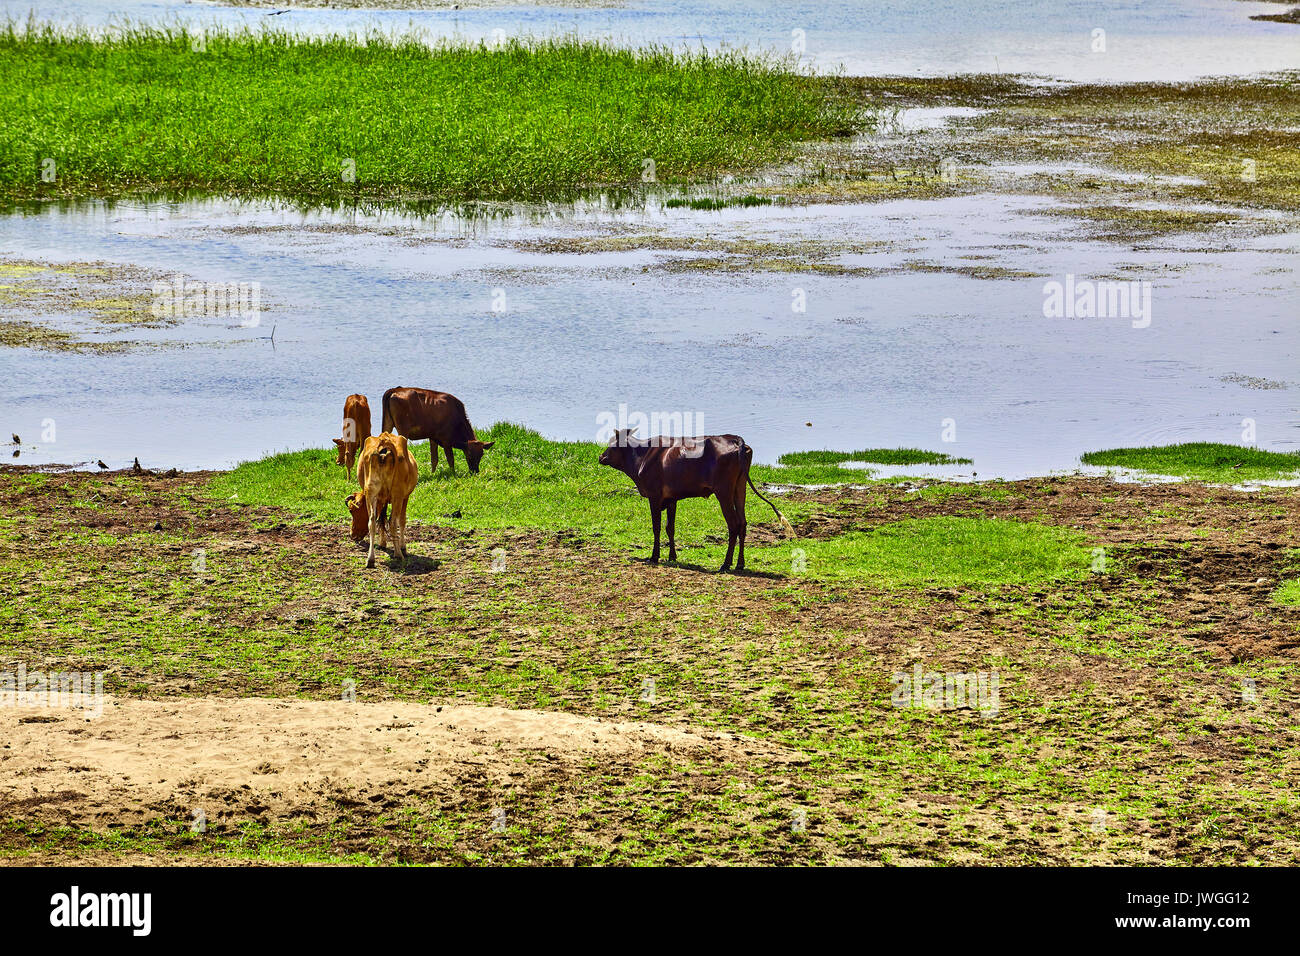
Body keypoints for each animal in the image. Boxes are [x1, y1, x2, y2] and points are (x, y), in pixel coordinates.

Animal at [355, 432, 419, 568]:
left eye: (353, 511)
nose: (354, 536)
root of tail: (384, 442)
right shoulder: (405, 497)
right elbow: (401, 520)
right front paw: (402, 547)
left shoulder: (379, 499)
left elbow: (380, 519)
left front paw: (382, 543)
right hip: (397, 495)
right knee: (393, 522)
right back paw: (398, 554)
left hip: (371, 493)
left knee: (372, 522)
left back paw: (370, 559)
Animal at [598, 430, 793, 572]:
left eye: (611, 444)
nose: (600, 457)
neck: (642, 456)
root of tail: (735, 440)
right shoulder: (671, 499)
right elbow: (670, 528)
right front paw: (672, 556)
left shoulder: (654, 496)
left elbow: (656, 527)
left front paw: (654, 556)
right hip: (740, 488)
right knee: (743, 523)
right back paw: (740, 564)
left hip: (724, 491)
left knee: (734, 525)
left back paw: (725, 564)